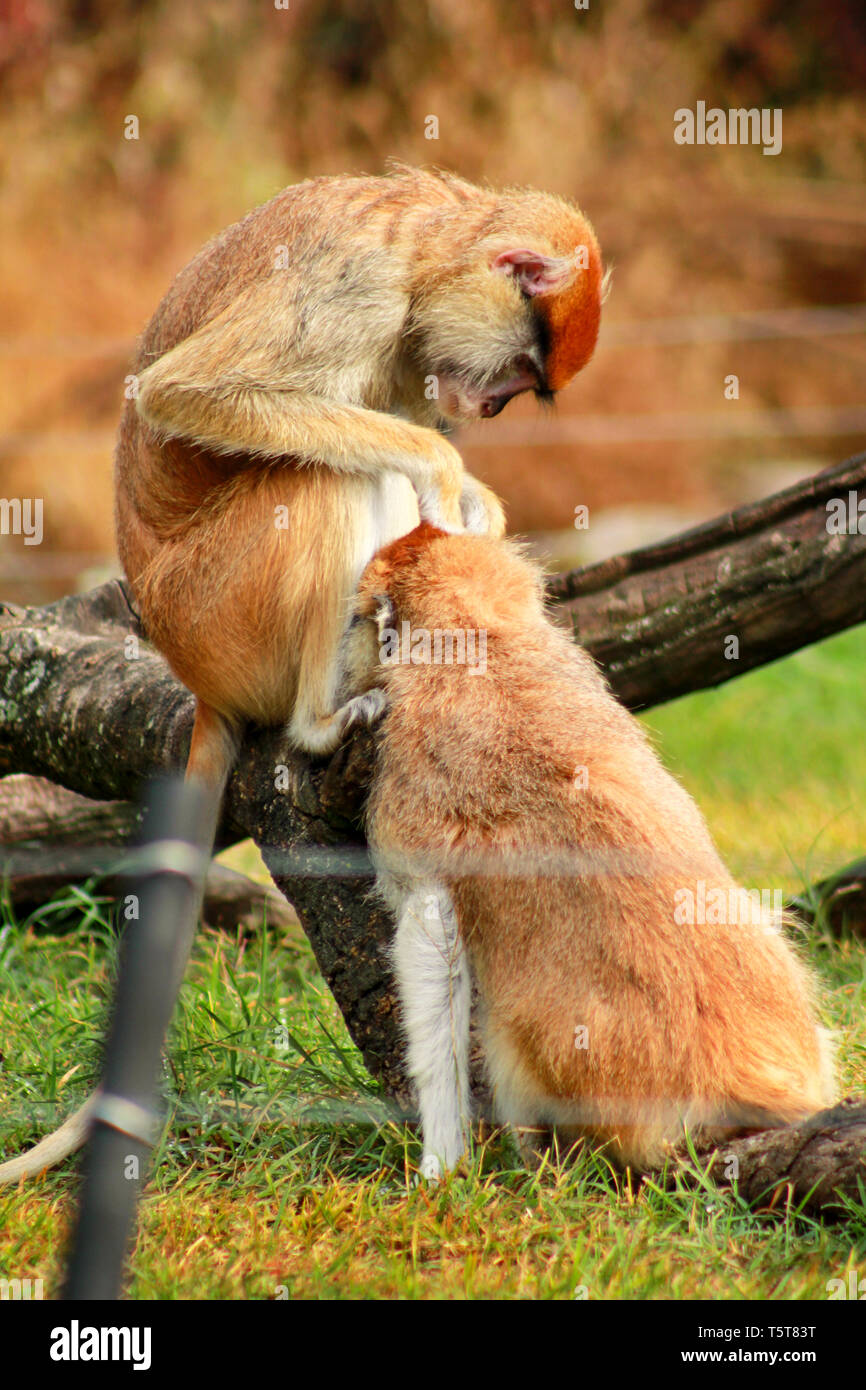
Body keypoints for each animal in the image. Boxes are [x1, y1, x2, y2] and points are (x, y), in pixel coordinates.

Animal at [0, 164, 604, 1183]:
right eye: (523, 375)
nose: (488, 411)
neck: (425, 250)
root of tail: (192, 669)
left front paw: (476, 509)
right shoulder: (352, 286)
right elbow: (189, 392)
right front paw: (451, 467)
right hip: (222, 611)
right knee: (319, 478)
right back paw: (321, 719)